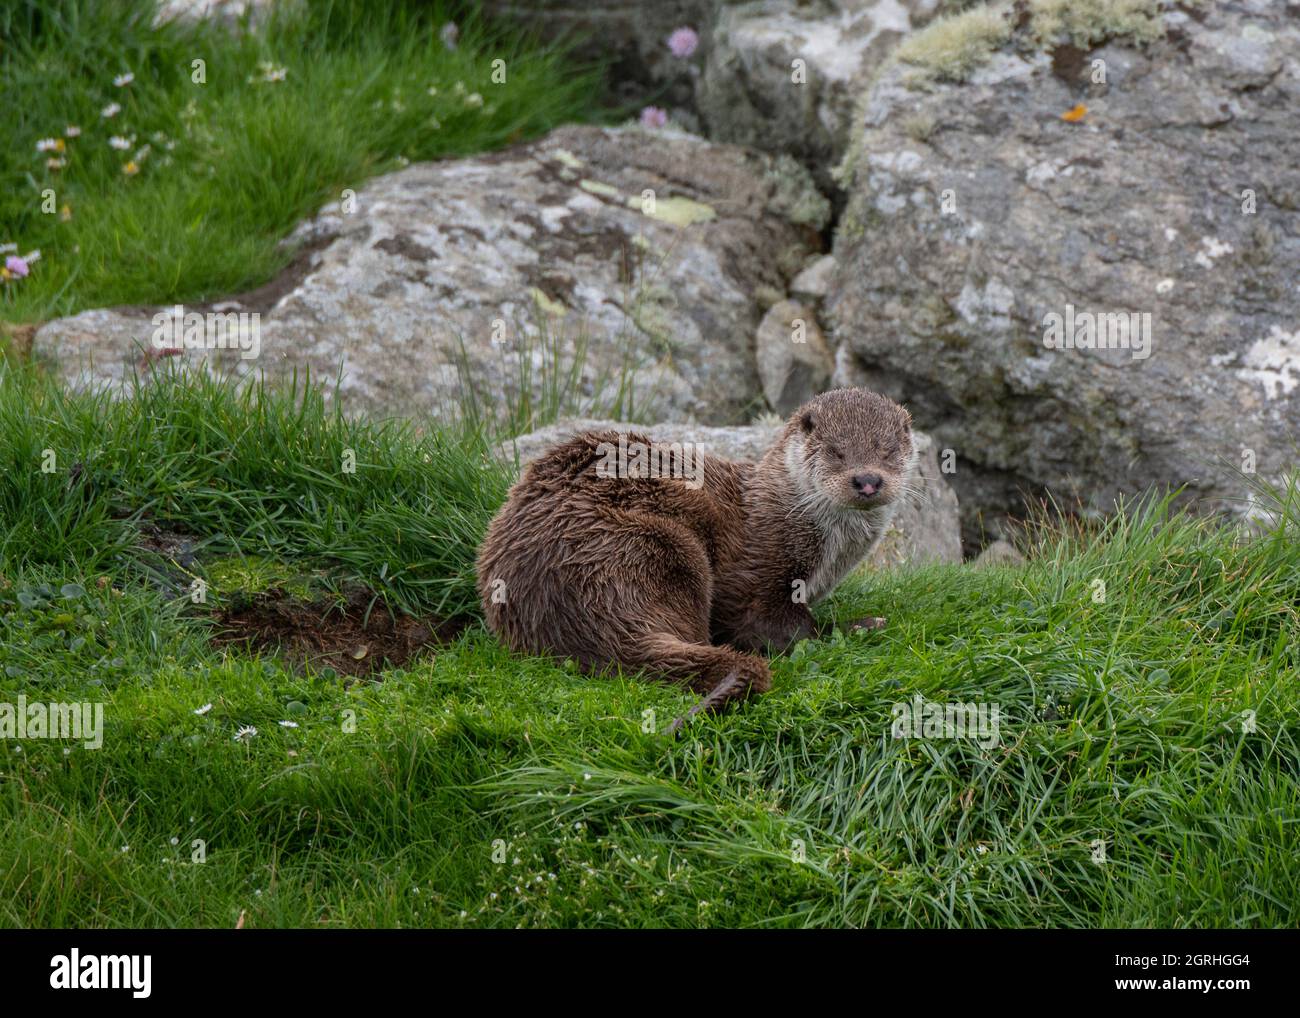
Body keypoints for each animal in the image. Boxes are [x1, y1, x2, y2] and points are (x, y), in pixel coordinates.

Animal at [477, 388, 918, 730]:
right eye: (836, 452)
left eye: (888, 451)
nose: (867, 479)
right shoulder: (757, 571)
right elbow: (776, 628)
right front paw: (859, 625)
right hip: (661, 546)